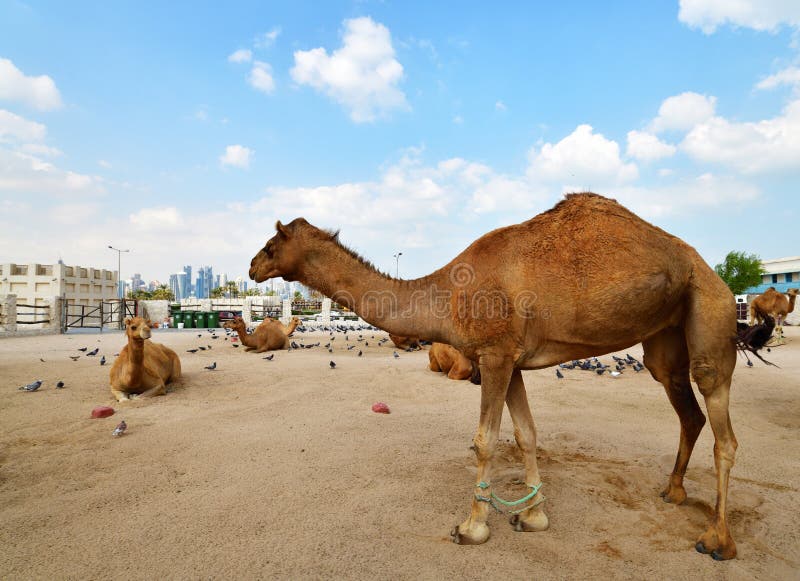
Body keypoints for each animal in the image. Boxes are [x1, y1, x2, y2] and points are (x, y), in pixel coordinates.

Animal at [249, 193, 740, 560]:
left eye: (272, 244)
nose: (253, 266)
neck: (446, 294)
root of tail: (704, 266)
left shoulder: (496, 355)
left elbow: (485, 440)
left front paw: (472, 528)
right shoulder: (511, 361)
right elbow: (526, 434)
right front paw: (533, 516)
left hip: (710, 305)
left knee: (723, 427)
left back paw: (718, 540)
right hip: (665, 336)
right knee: (686, 407)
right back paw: (673, 492)